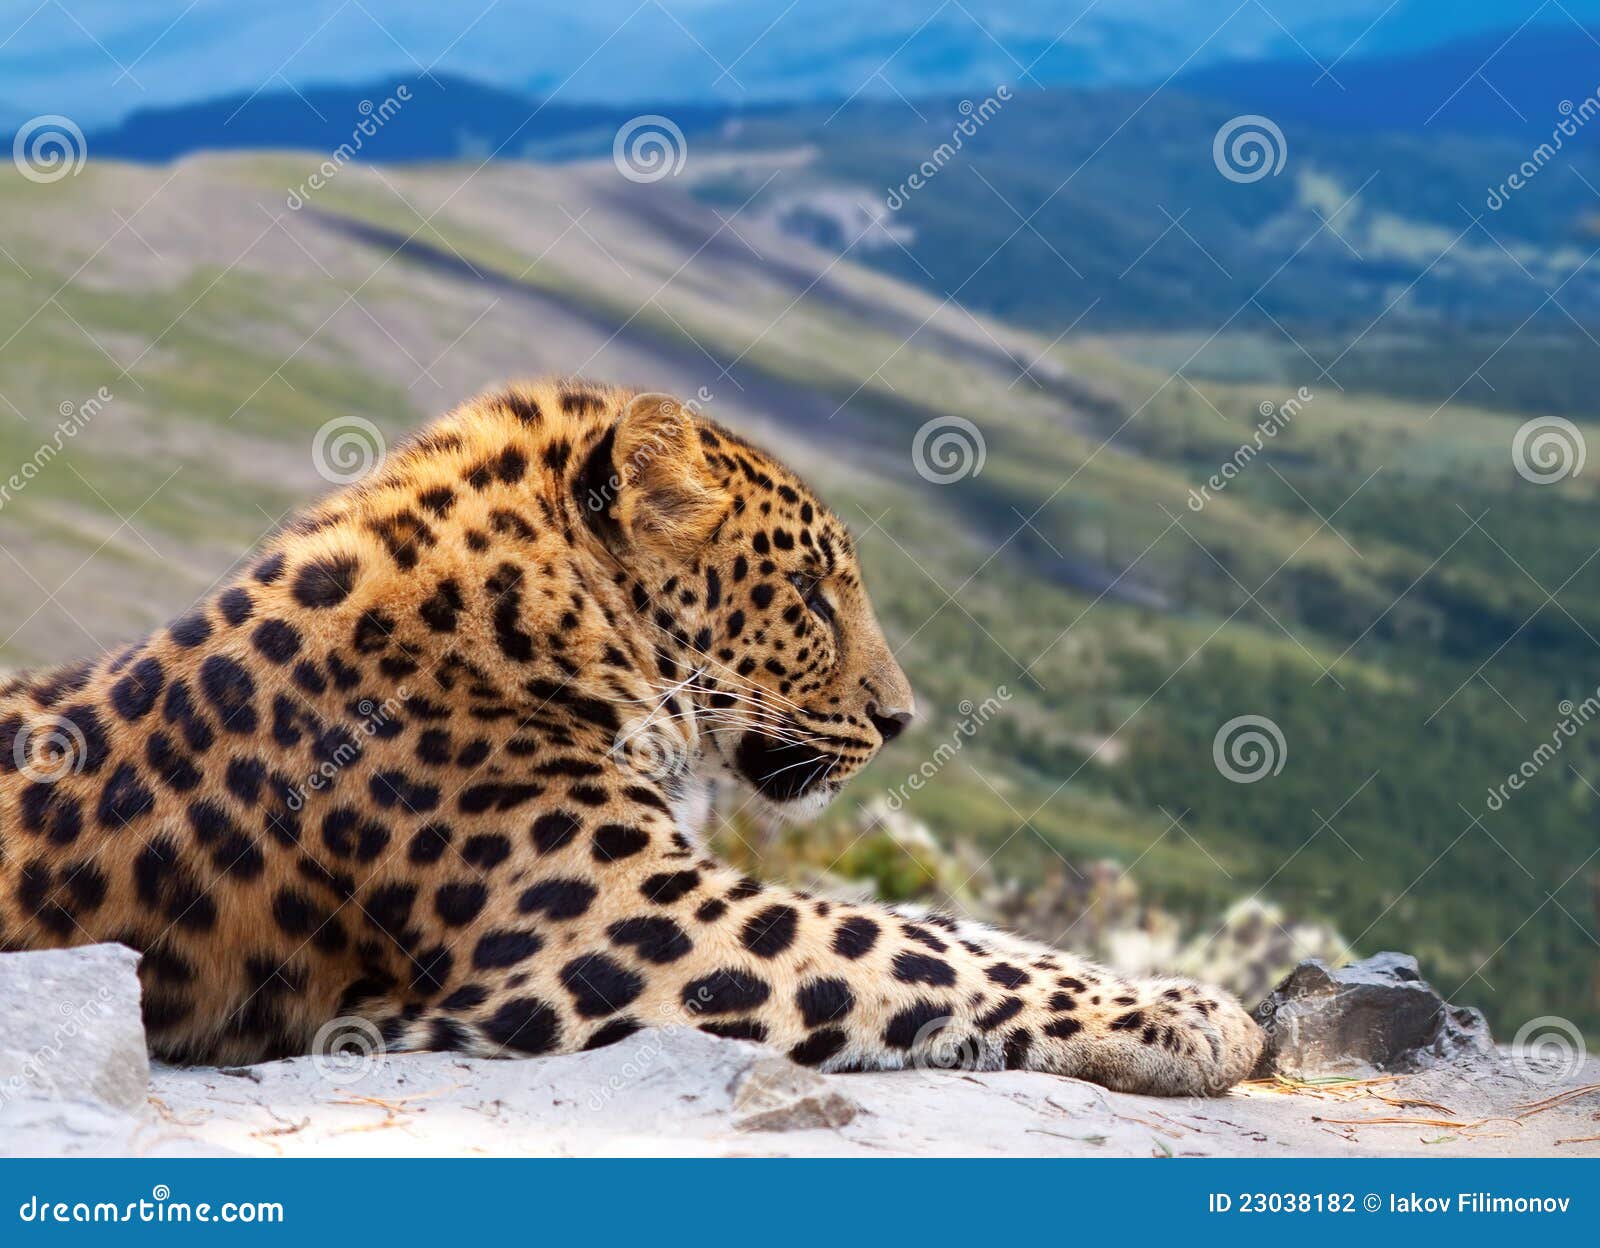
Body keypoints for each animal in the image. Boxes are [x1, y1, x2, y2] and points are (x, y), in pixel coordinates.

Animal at [0, 378, 1264, 1096]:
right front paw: (1187, 1019)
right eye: (812, 595)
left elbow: (947, 925)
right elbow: (898, 945)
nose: (902, 720)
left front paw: (1179, 997)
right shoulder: (635, 919)